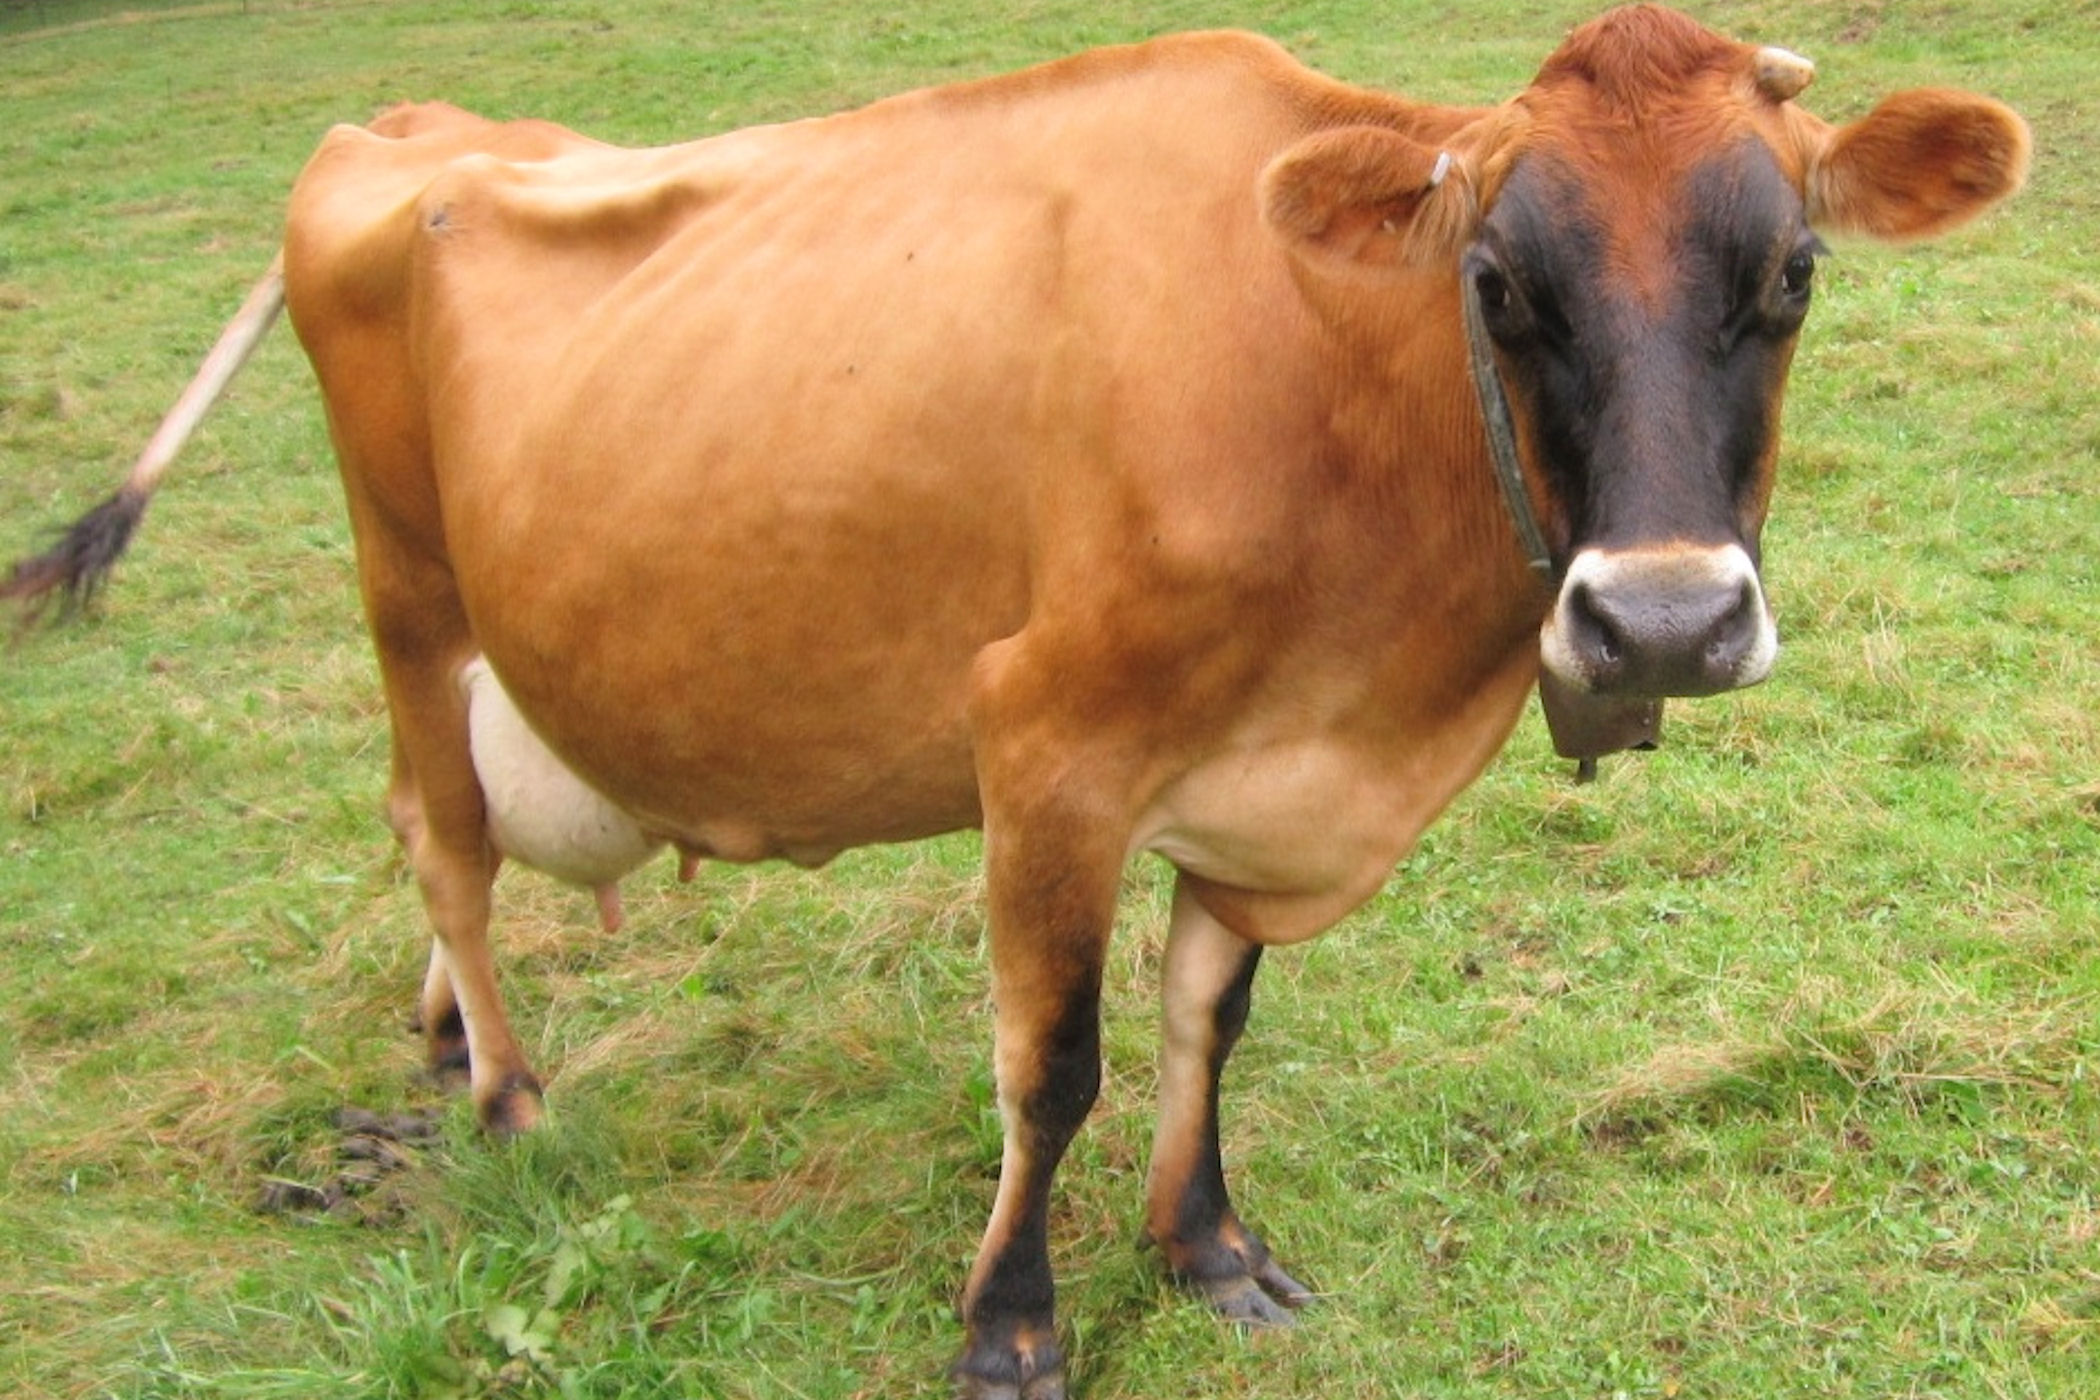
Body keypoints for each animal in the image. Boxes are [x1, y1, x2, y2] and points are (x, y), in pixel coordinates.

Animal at [4, 7, 2027, 1396]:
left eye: (1793, 272)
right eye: (1498, 279)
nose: (1664, 622)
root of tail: (403, 125)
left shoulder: (1259, 770)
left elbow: (1210, 1017)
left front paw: (1204, 1245)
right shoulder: (1047, 744)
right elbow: (1050, 1066)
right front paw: (1013, 1324)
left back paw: (439, 1047)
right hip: (409, 591)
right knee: (444, 838)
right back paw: (503, 1101)